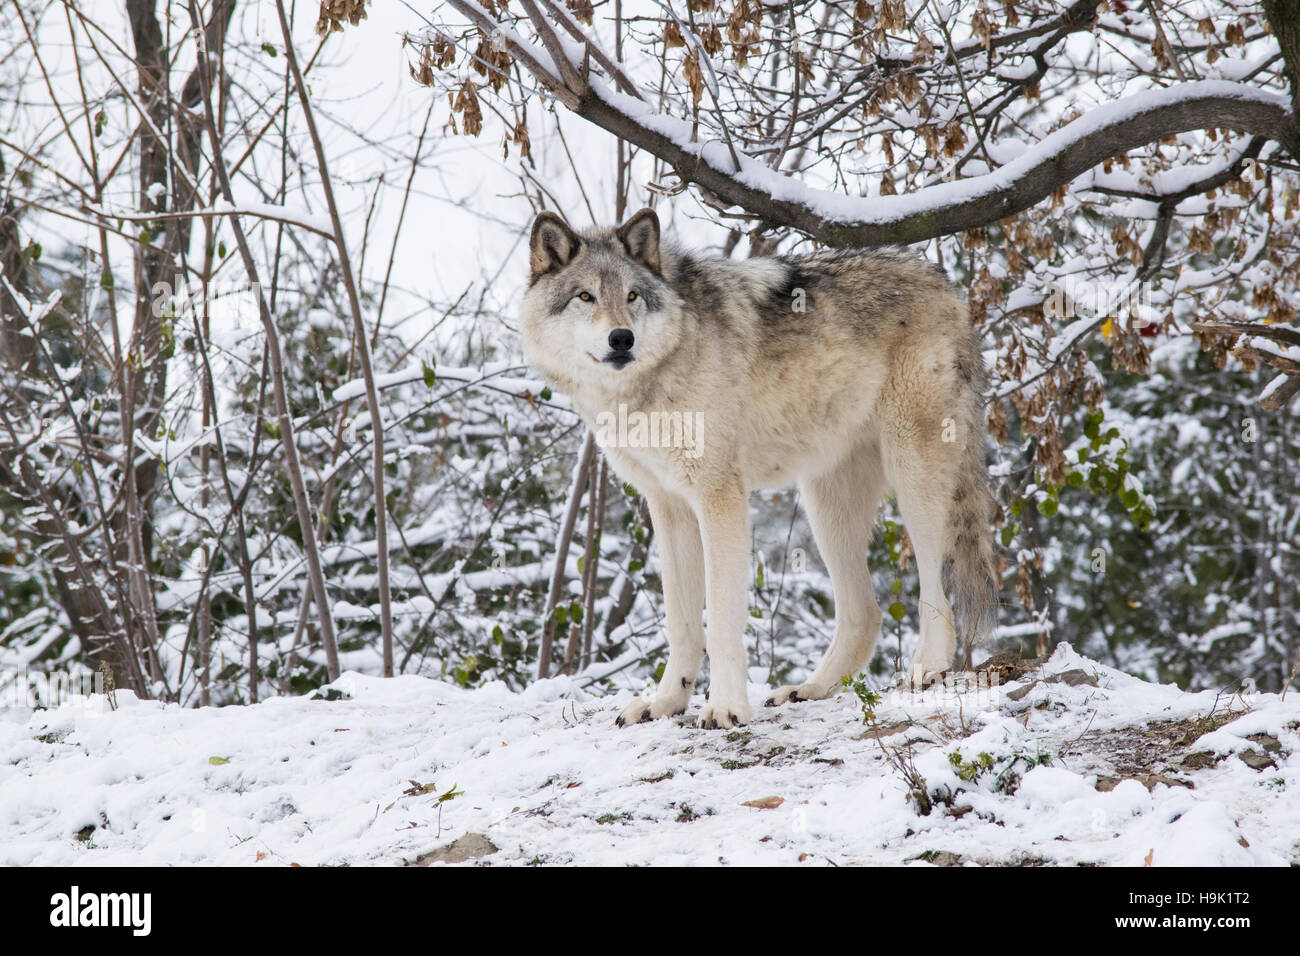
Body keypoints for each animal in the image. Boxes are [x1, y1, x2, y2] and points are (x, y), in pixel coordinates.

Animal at [520, 208, 997, 729]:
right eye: (585, 297)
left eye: (631, 296)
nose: (621, 339)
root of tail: (946, 286)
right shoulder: (669, 507)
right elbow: (681, 621)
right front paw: (666, 703)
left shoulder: (719, 496)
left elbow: (721, 618)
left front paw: (725, 708)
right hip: (824, 505)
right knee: (864, 612)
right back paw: (810, 689)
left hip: (914, 477)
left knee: (936, 586)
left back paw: (927, 668)